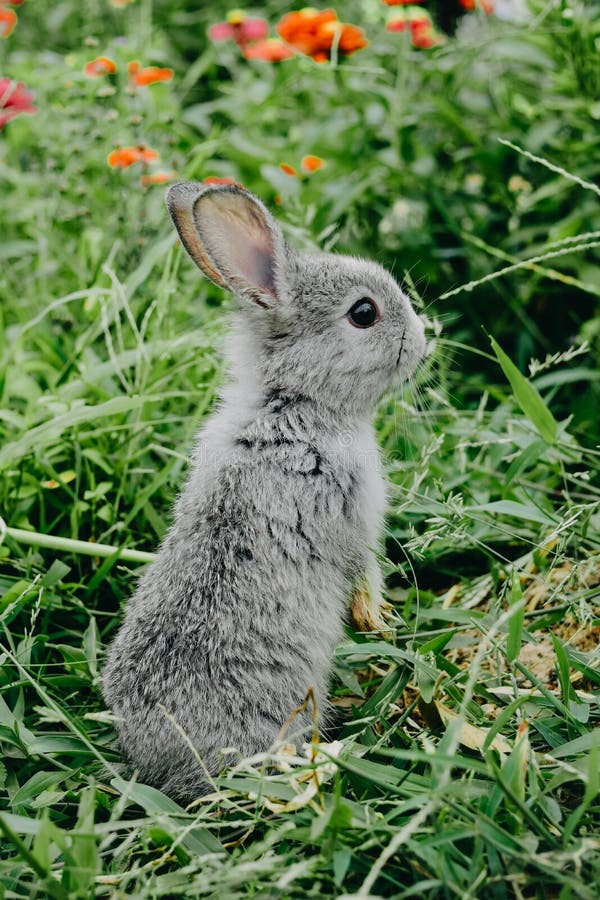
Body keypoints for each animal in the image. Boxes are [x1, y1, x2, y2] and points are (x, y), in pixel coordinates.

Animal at [102, 182, 426, 802]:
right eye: (364, 313)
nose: (426, 339)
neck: (295, 403)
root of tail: (157, 762)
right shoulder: (349, 515)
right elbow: (362, 568)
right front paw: (378, 618)